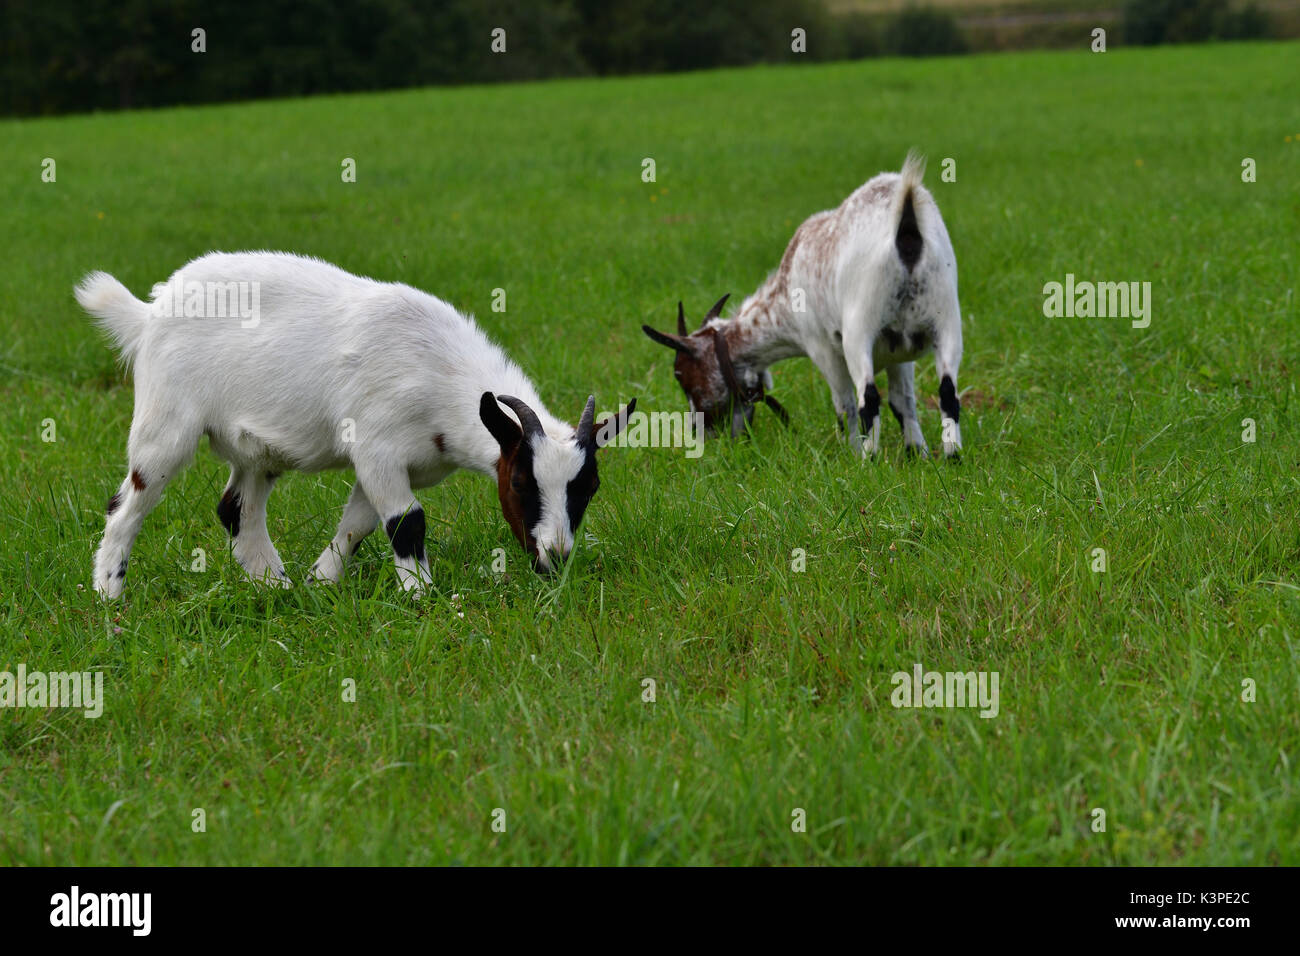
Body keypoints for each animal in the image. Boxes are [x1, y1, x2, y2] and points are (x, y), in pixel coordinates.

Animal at [76, 251, 635, 599]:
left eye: (589, 487)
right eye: (519, 481)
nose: (555, 557)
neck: (440, 371)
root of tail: (148, 314)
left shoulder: (390, 463)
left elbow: (360, 524)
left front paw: (320, 584)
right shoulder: (377, 447)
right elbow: (407, 521)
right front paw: (422, 597)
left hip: (256, 449)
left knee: (236, 508)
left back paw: (274, 588)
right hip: (165, 422)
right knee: (128, 502)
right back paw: (109, 595)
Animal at [643, 152, 963, 458]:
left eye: (683, 377)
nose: (703, 433)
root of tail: (906, 220)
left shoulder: (821, 346)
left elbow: (845, 405)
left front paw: (854, 454)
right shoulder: (899, 352)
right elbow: (903, 401)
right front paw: (918, 453)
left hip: (860, 331)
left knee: (868, 398)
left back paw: (870, 459)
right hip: (946, 318)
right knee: (948, 392)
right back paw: (953, 456)